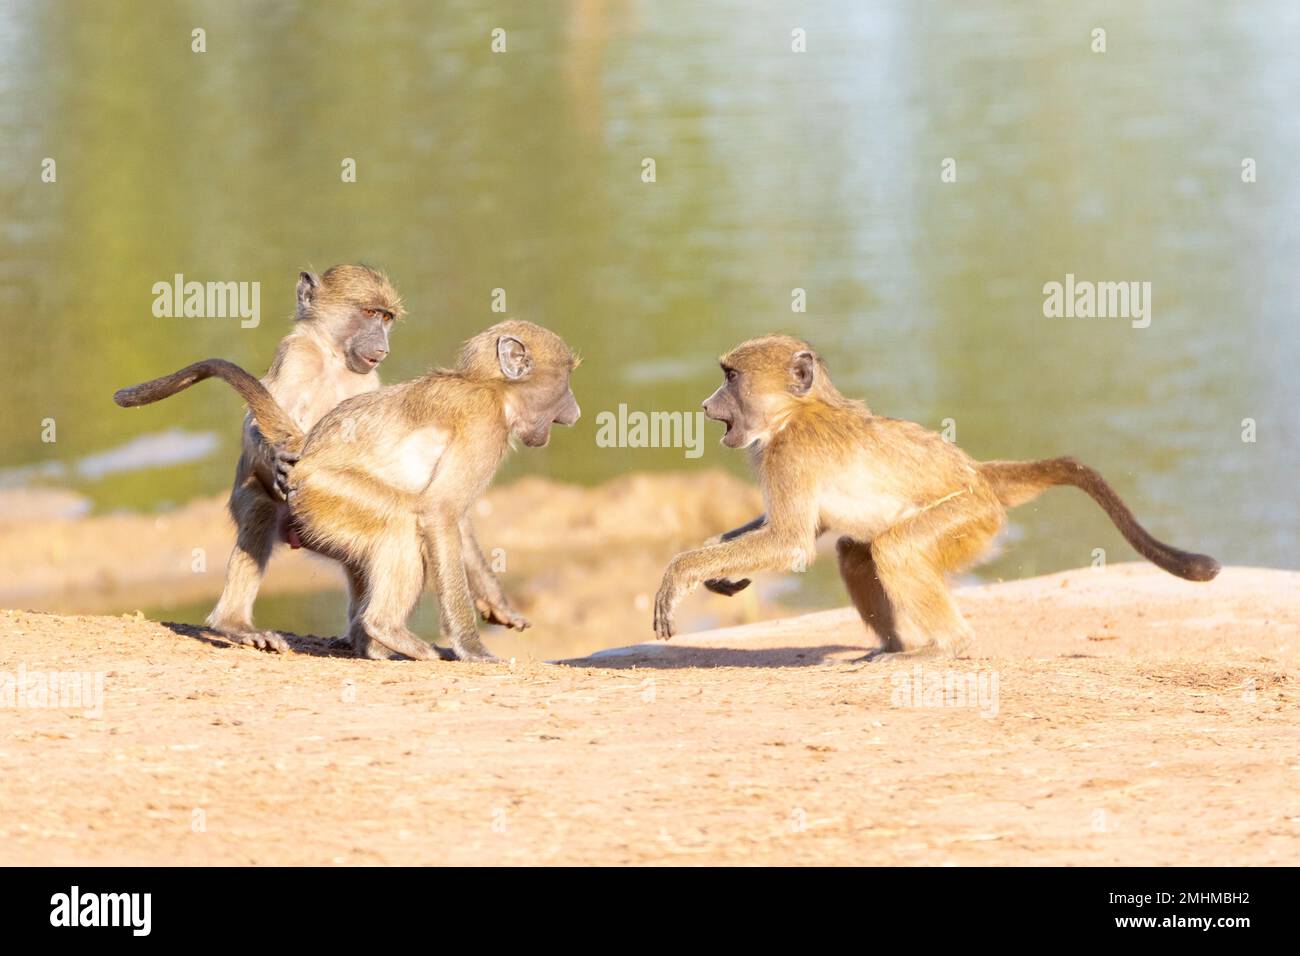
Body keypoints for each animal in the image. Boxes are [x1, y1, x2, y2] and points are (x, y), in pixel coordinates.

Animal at [115, 319, 579, 662]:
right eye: (565, 379)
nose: (574, 413)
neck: (491, 388)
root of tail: (305, 449)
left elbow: (453, 518)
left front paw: (496, 602)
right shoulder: (485, 426)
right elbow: (439, 512)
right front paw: (473, 648)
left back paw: (368, 643)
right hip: (325, 496)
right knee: (400, 523)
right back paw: (381, 630)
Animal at [652, 335, 1219, 658]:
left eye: (730, 378)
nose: (706, 406)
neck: (798, 412)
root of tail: (978, 473)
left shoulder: (791, 453)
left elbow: (792, 540)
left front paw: (681, 572)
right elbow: (811, 529)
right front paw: (718, 561)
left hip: (971, 517)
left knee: (894, 550)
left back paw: (943, 648)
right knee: (857, 552)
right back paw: (899, 645)